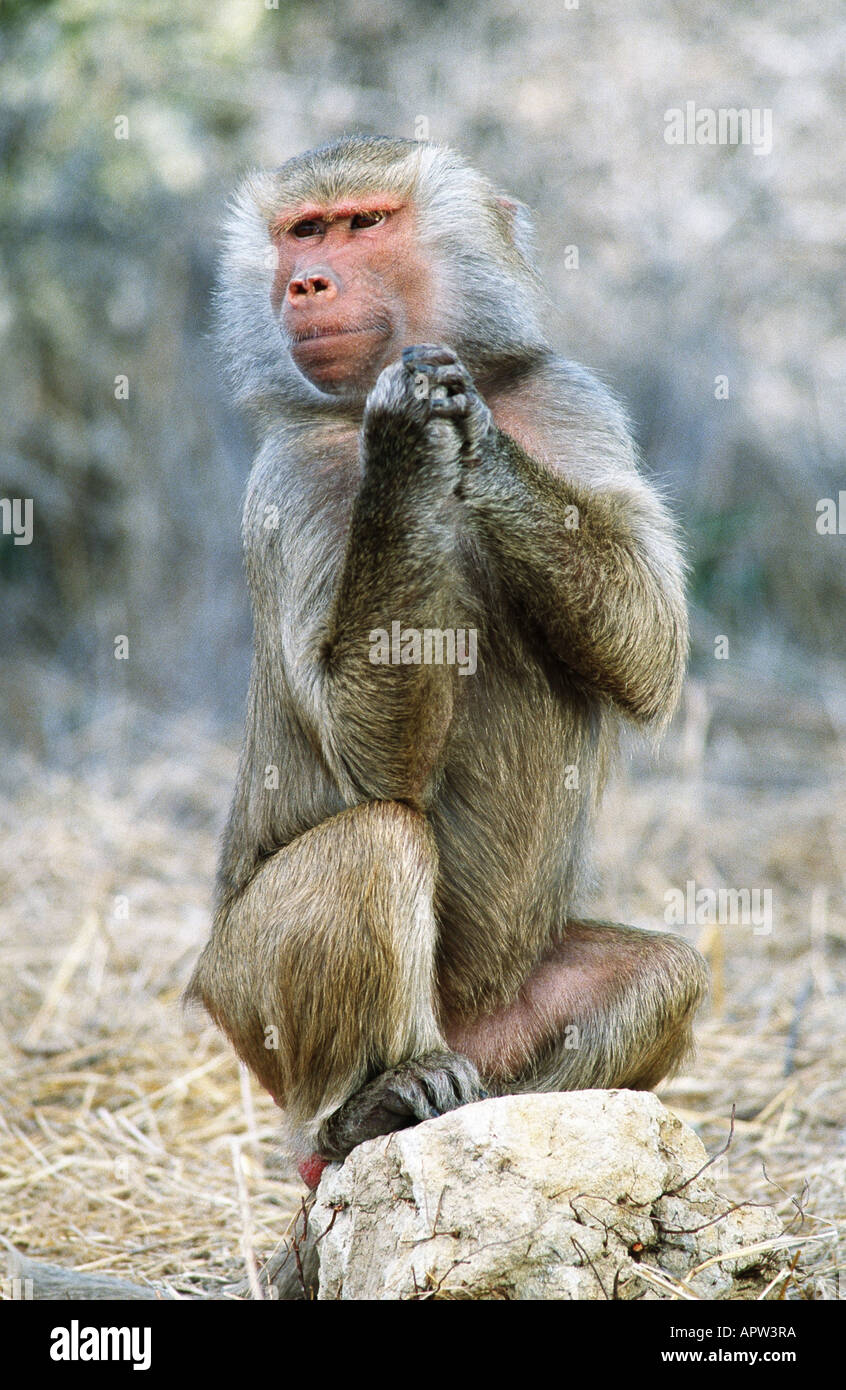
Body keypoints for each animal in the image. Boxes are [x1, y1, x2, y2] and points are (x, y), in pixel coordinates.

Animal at [186, 135, 708, 1189]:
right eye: (303, 230)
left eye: (363, 224)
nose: (304, 281)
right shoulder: (292, 473)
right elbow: (368, 762)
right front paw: (402, 441)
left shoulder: (570, 398)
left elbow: (650, 644)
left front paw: (473, 436)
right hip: (244, 1005)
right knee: (377, 840)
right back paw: (364, 1113)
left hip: (503, 1019)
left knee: (662, 979)